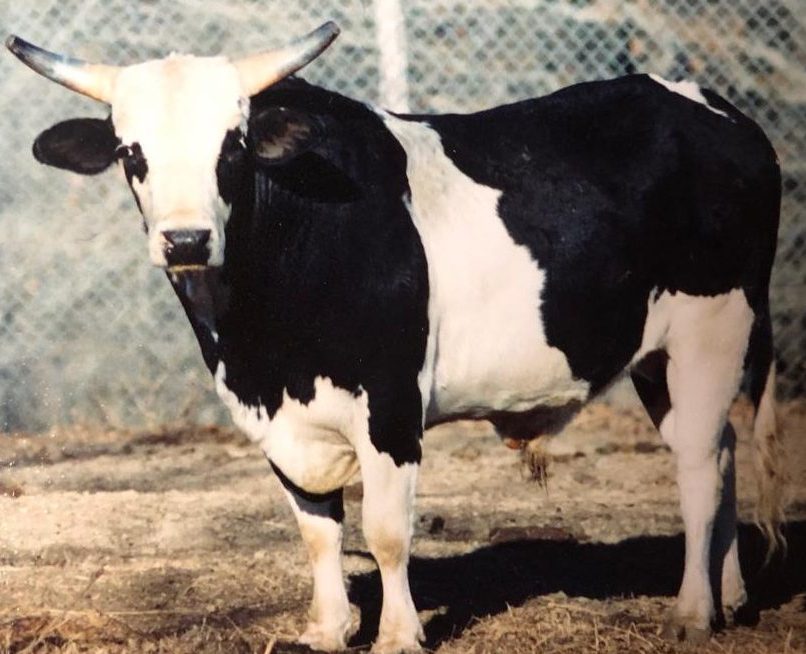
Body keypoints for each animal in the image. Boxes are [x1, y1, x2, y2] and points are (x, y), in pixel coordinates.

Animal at [7, 21, 785, 653]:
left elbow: (383, 530)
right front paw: (327, 629)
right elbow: (316, 528)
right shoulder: (276, 418)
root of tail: (714, 109)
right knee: (719, 452)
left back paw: (693, 612)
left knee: (698, 467)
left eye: (233, 147)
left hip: (713, 329)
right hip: (658, 356)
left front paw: (398, 635)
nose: (186, 240)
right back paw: (732, 596)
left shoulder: (389, 401)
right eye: (129, 151)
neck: (260, 338)